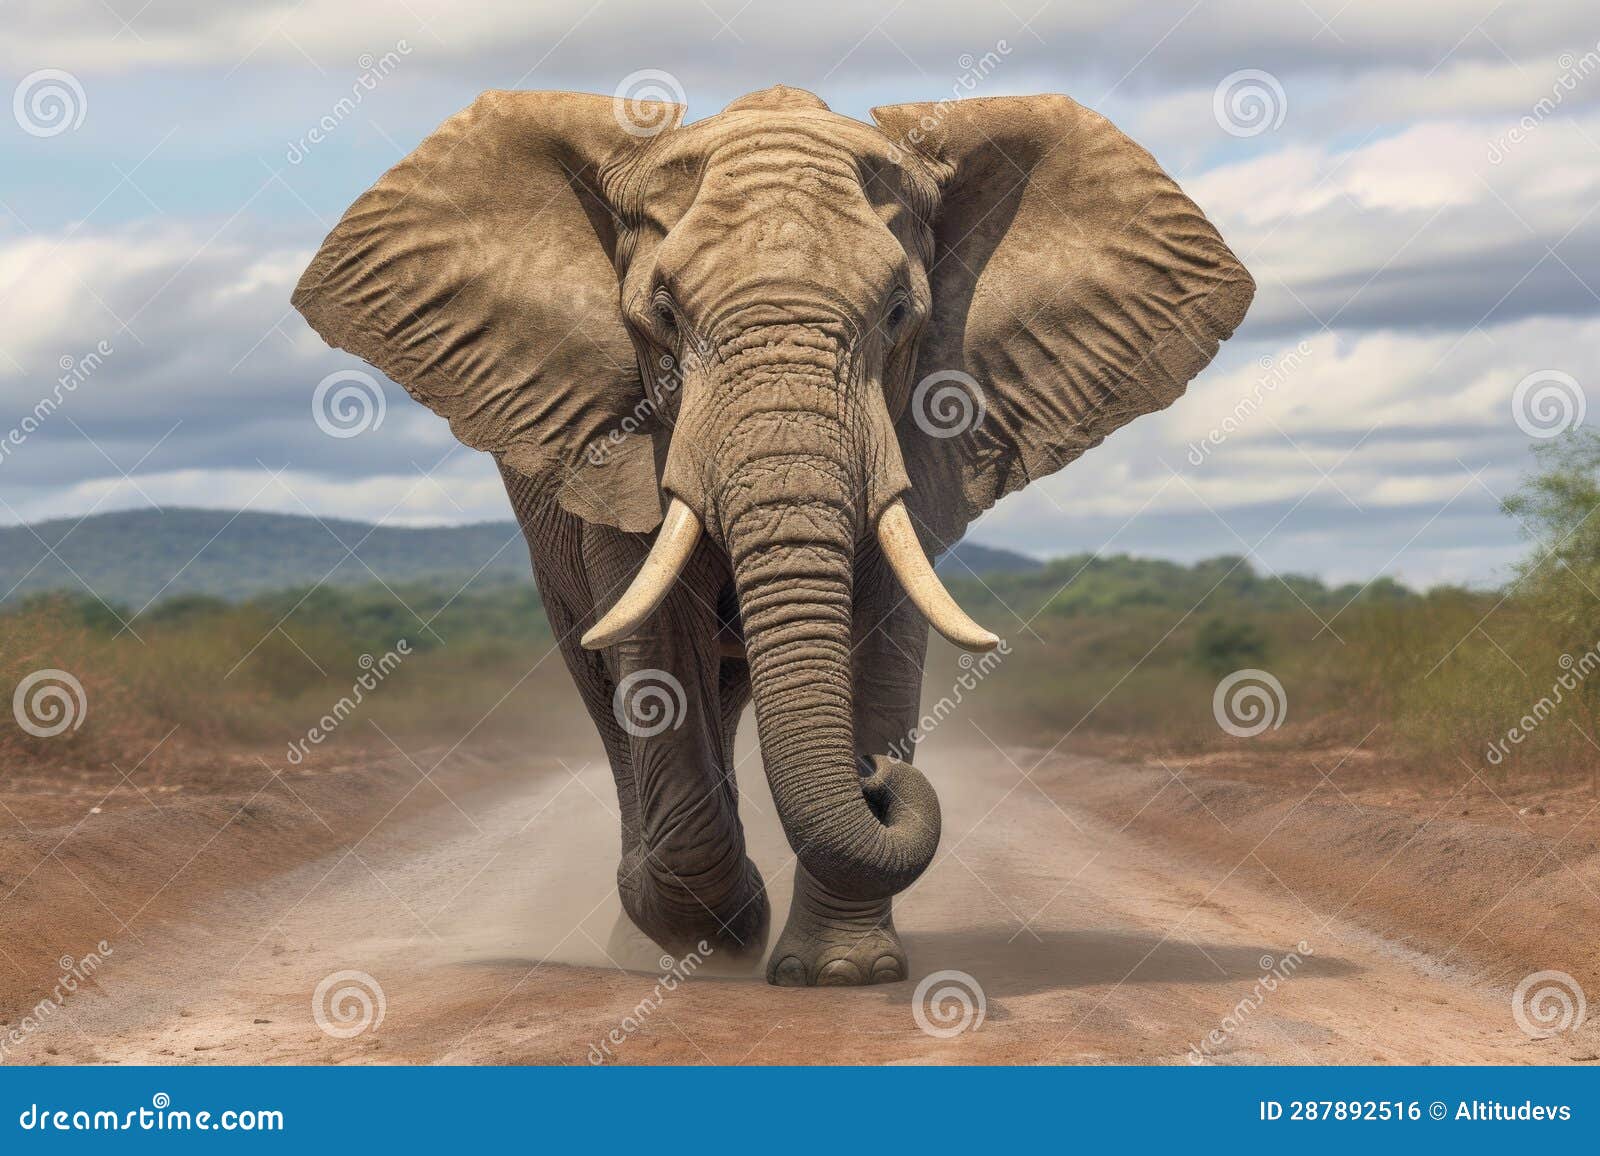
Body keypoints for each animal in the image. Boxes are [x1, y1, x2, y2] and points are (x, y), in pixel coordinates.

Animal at [291, 85, 1253, 986]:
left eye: (899, 314)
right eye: (664, 315)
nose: (877, 780)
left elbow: (882, 639)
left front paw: (841, 973)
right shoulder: (623, 442)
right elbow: (654, 653)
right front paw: (717, 931)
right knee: (606, 688)